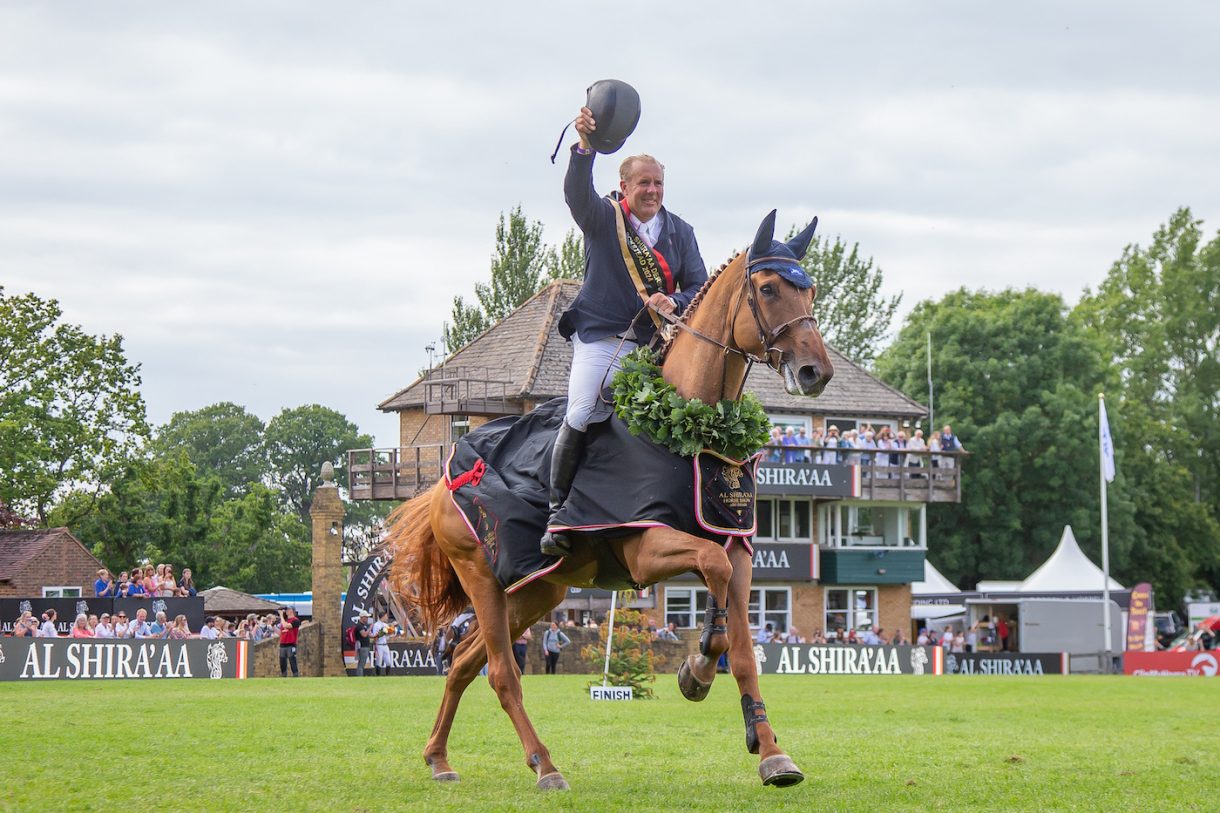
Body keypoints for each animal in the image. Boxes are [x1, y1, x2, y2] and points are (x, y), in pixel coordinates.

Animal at [385, 209, 833, 790]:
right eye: (769, 288)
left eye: (811, 290)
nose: (815, 372)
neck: (691, 428)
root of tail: (446, 478)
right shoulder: (647, 548)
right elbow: (710, 577)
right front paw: (696, 670)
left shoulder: (737, 547)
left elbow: (742, 650)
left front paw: (771, 752)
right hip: (483, 575)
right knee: (503, 673)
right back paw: (545, 766)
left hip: (535, 592)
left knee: (463, 661)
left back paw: (439, 758)